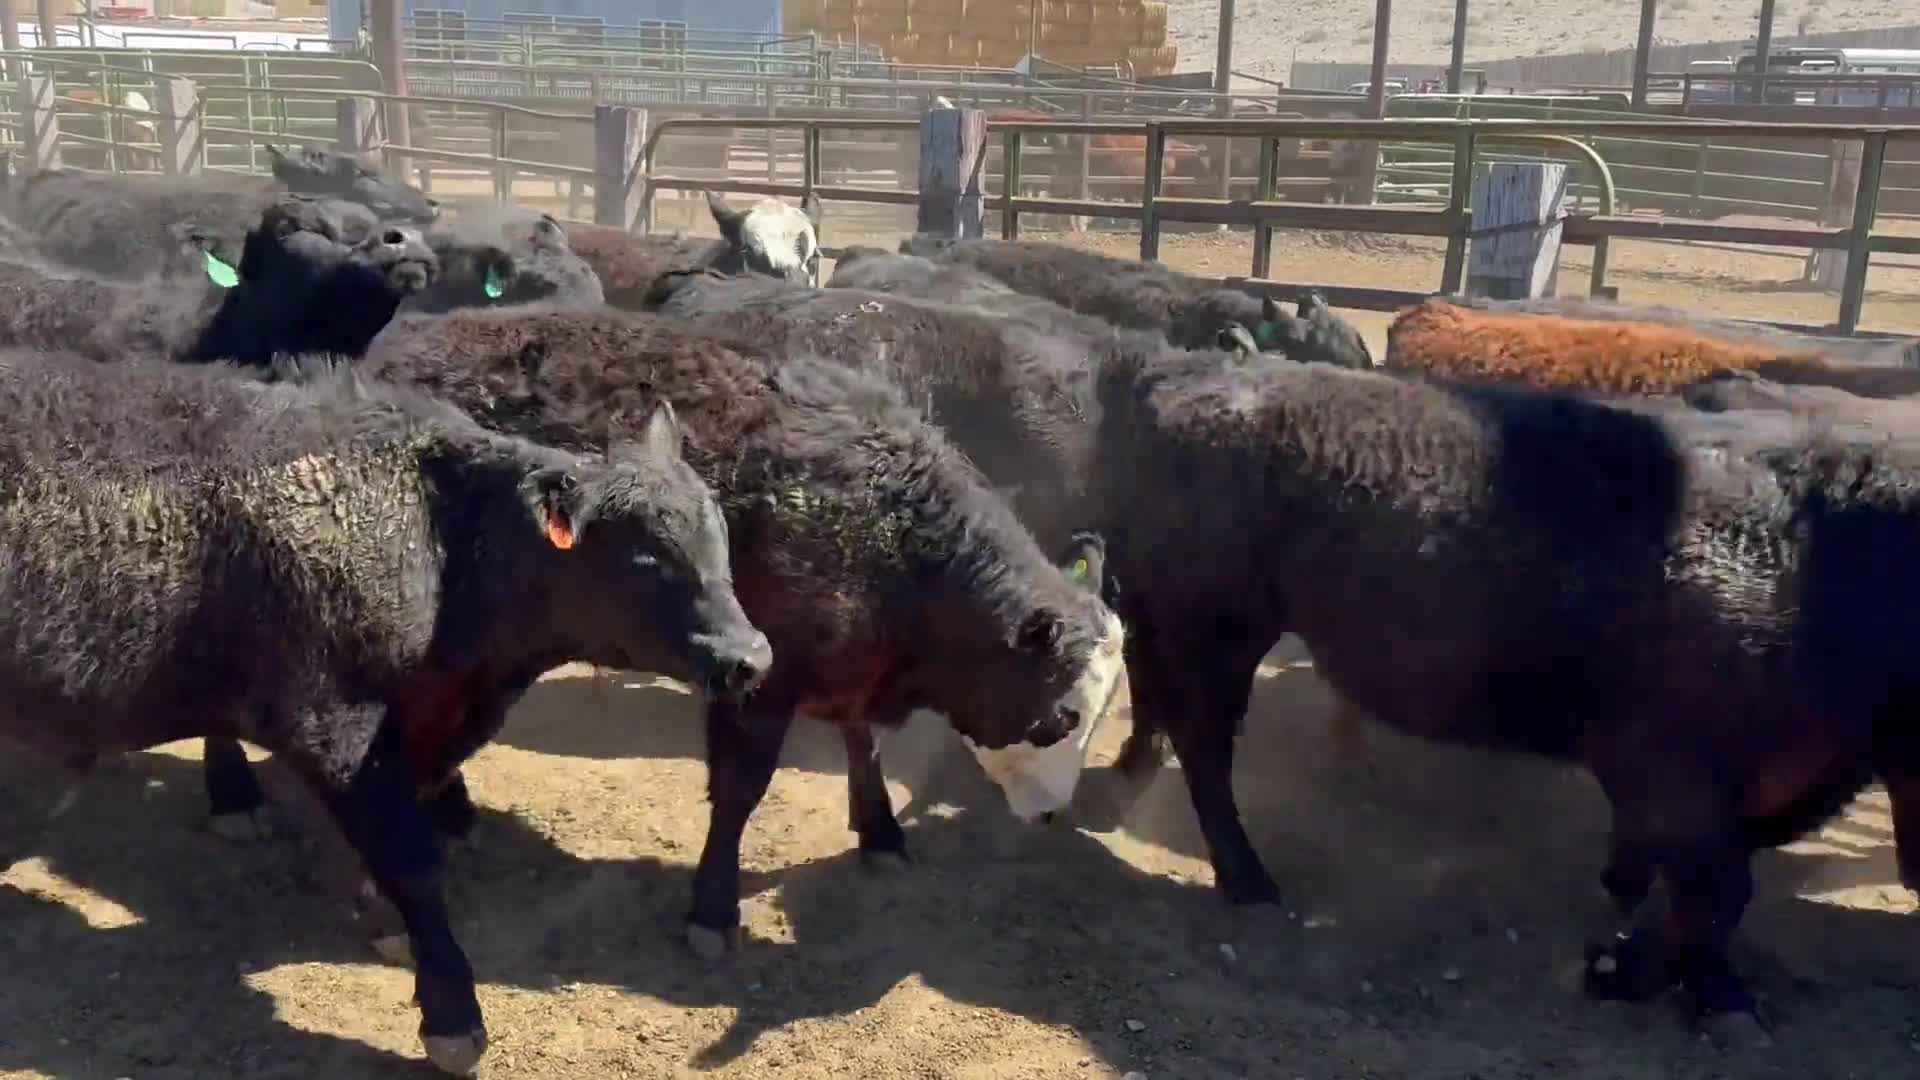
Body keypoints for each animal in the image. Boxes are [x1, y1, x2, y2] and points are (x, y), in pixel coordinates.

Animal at [0, 346, 769, 1076]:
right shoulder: (333, 723)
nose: (752, 657)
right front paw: (451, 1015)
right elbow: (414, 863)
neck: (434, 539)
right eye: (646, 559)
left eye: (721, 544)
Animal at [200, 304, 1128, 958]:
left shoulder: (846, 663)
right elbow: (742, 790)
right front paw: (713, 911)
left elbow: (861, 745)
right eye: (1063, 716)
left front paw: (882, 834)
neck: (889, 525)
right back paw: (236, 793)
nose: (1054, 817)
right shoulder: (759, 682)